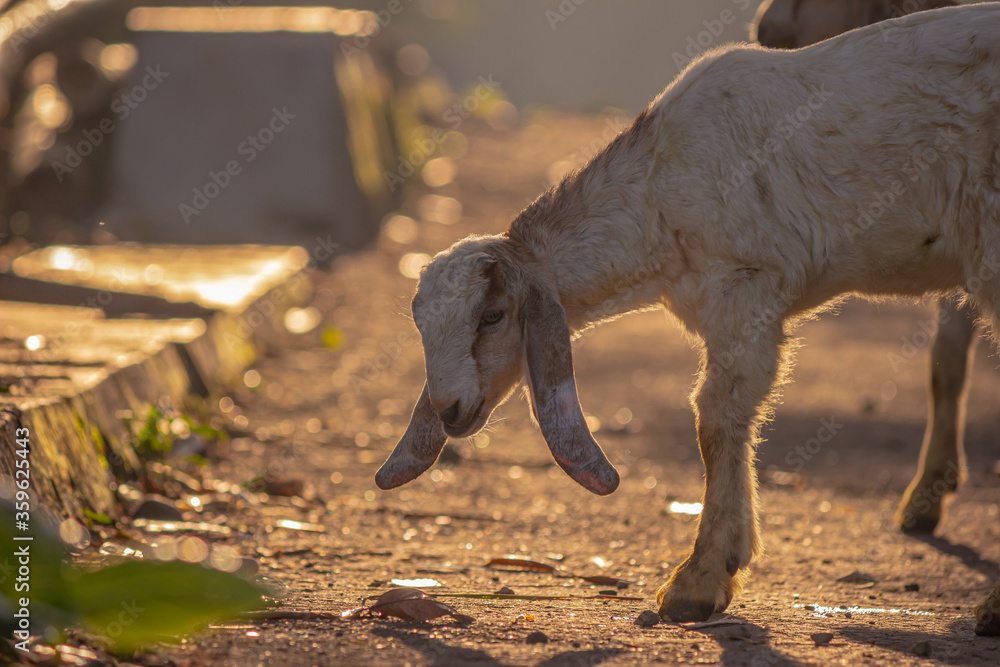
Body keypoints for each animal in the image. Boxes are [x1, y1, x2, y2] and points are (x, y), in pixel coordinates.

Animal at [376, 4, 1000, 632]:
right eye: (420, 327)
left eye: (493, 315)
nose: (449, 409)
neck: (657, 188)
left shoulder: (747, 283)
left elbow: (716, 418)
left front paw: (699, 580)